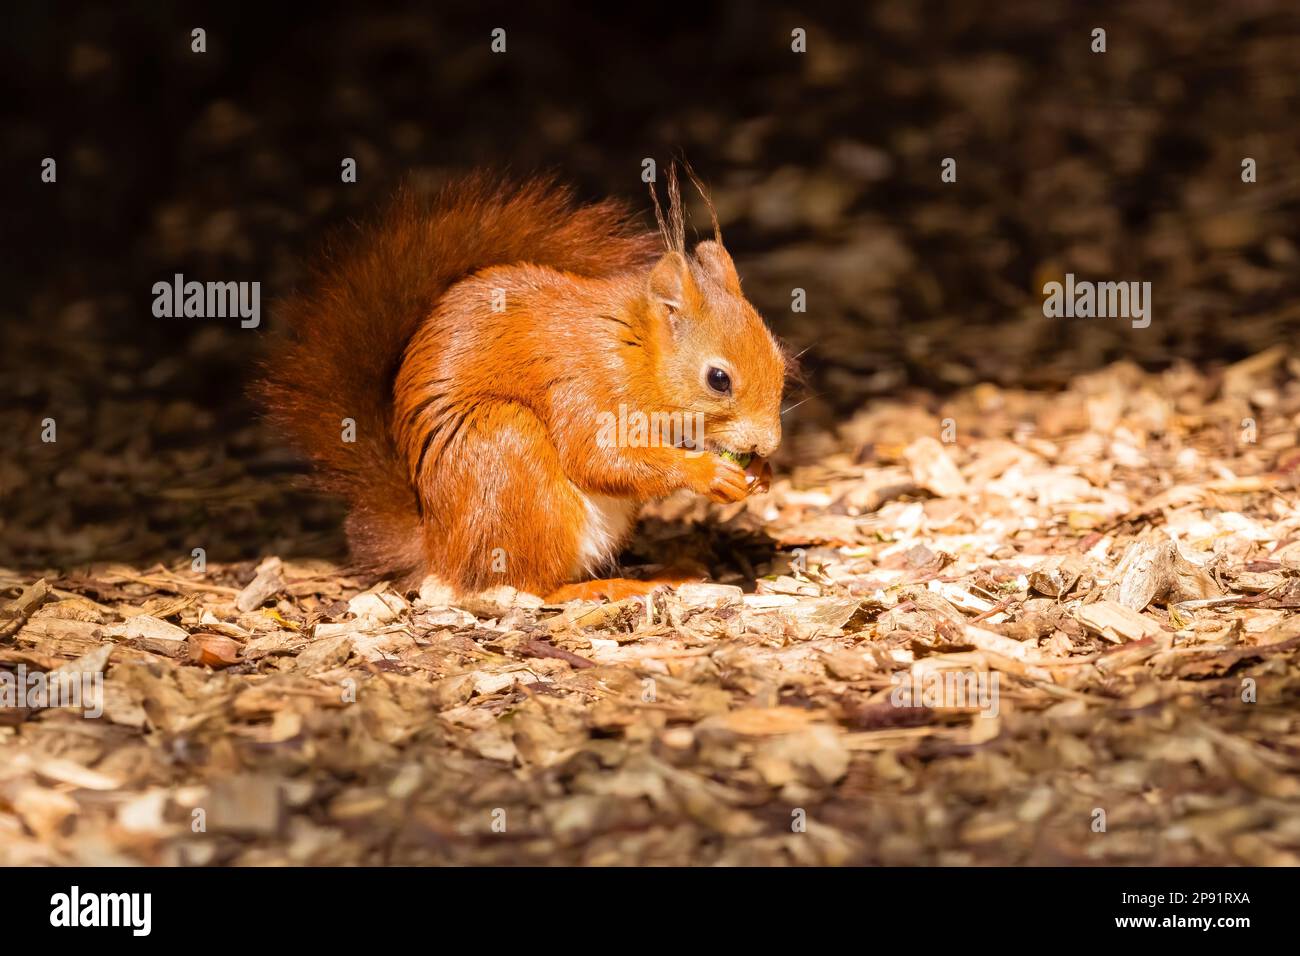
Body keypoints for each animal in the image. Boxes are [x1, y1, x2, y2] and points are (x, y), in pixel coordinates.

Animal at [258, 166, 788, 601]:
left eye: (781, 360)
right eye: (718, 379)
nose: (769, 443)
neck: (634, 352)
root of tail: (438, 548)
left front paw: (762, 473)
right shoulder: (583, 384)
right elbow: (597, 458)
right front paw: (709, 473)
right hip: (511, 449)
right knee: (531, 586)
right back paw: (611, 587)